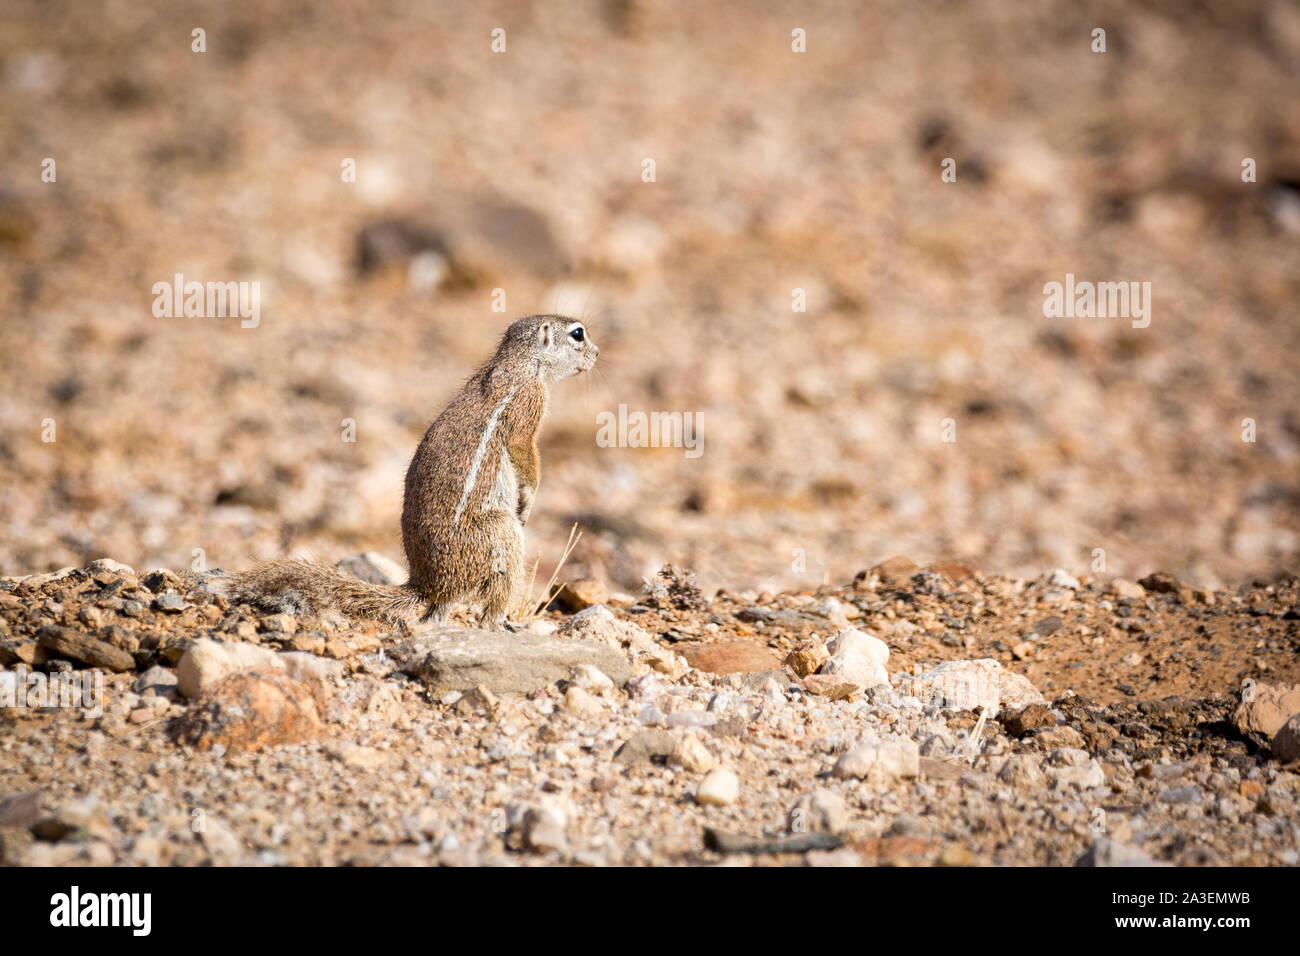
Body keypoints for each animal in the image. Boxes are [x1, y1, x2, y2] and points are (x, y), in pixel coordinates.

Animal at [226, 315, 598, 629]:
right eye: (577, 333)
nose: (596, 354)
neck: (517, 362)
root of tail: (428, 584)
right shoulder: (528, 409)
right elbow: (526, 457)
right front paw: (529, 502)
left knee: (436, 615)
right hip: (502, 534)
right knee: (487, 602)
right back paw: (505, 624)